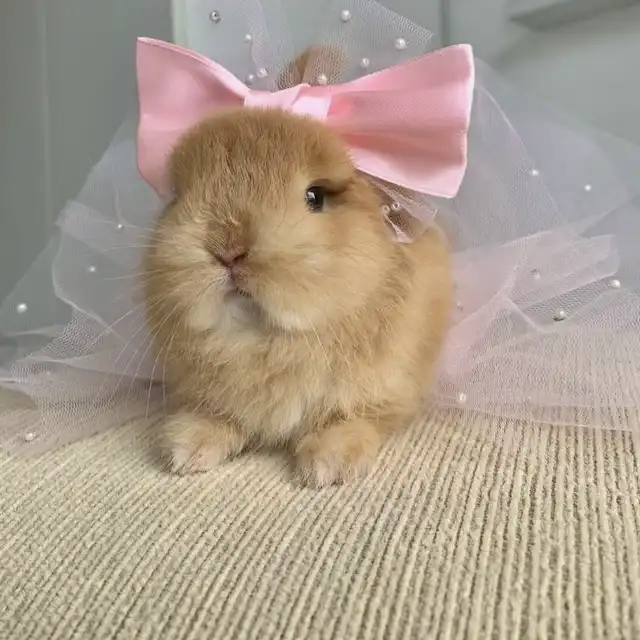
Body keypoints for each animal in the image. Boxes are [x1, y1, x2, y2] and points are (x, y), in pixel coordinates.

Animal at [144, 106, 452, 487]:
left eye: (315, 197)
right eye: (179, 197)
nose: (227, 249)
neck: (263, 342)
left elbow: (355, 417)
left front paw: (328, 464)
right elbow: (220, 416)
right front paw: (185, 448)